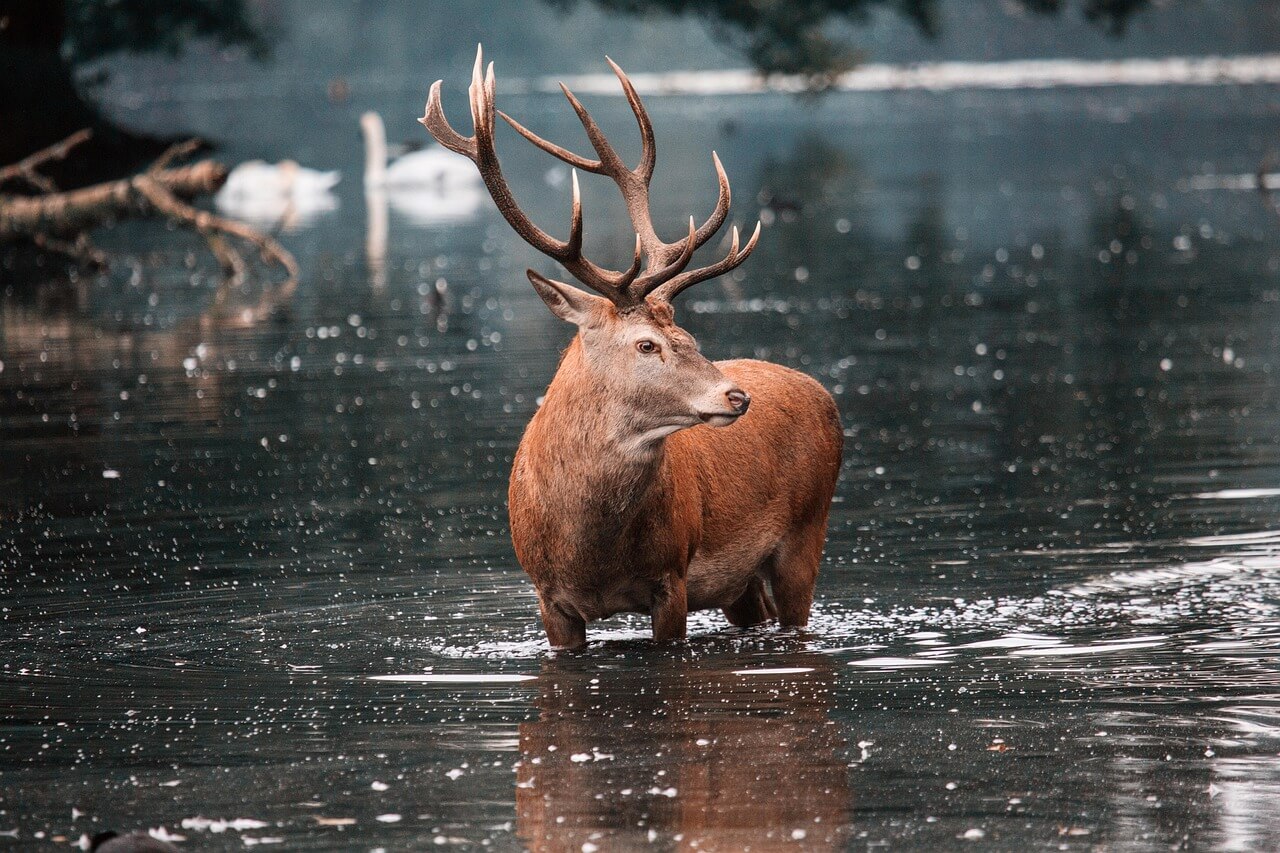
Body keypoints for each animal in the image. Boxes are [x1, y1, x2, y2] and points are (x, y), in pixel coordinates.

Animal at [420, 47, 842, 648]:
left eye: (689, 337)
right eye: (647, 344)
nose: (737, 397)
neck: (589, 553)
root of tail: (823, 393)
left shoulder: (673, 577)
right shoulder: (547, 598)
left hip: (808, 530)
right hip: (740, 583)